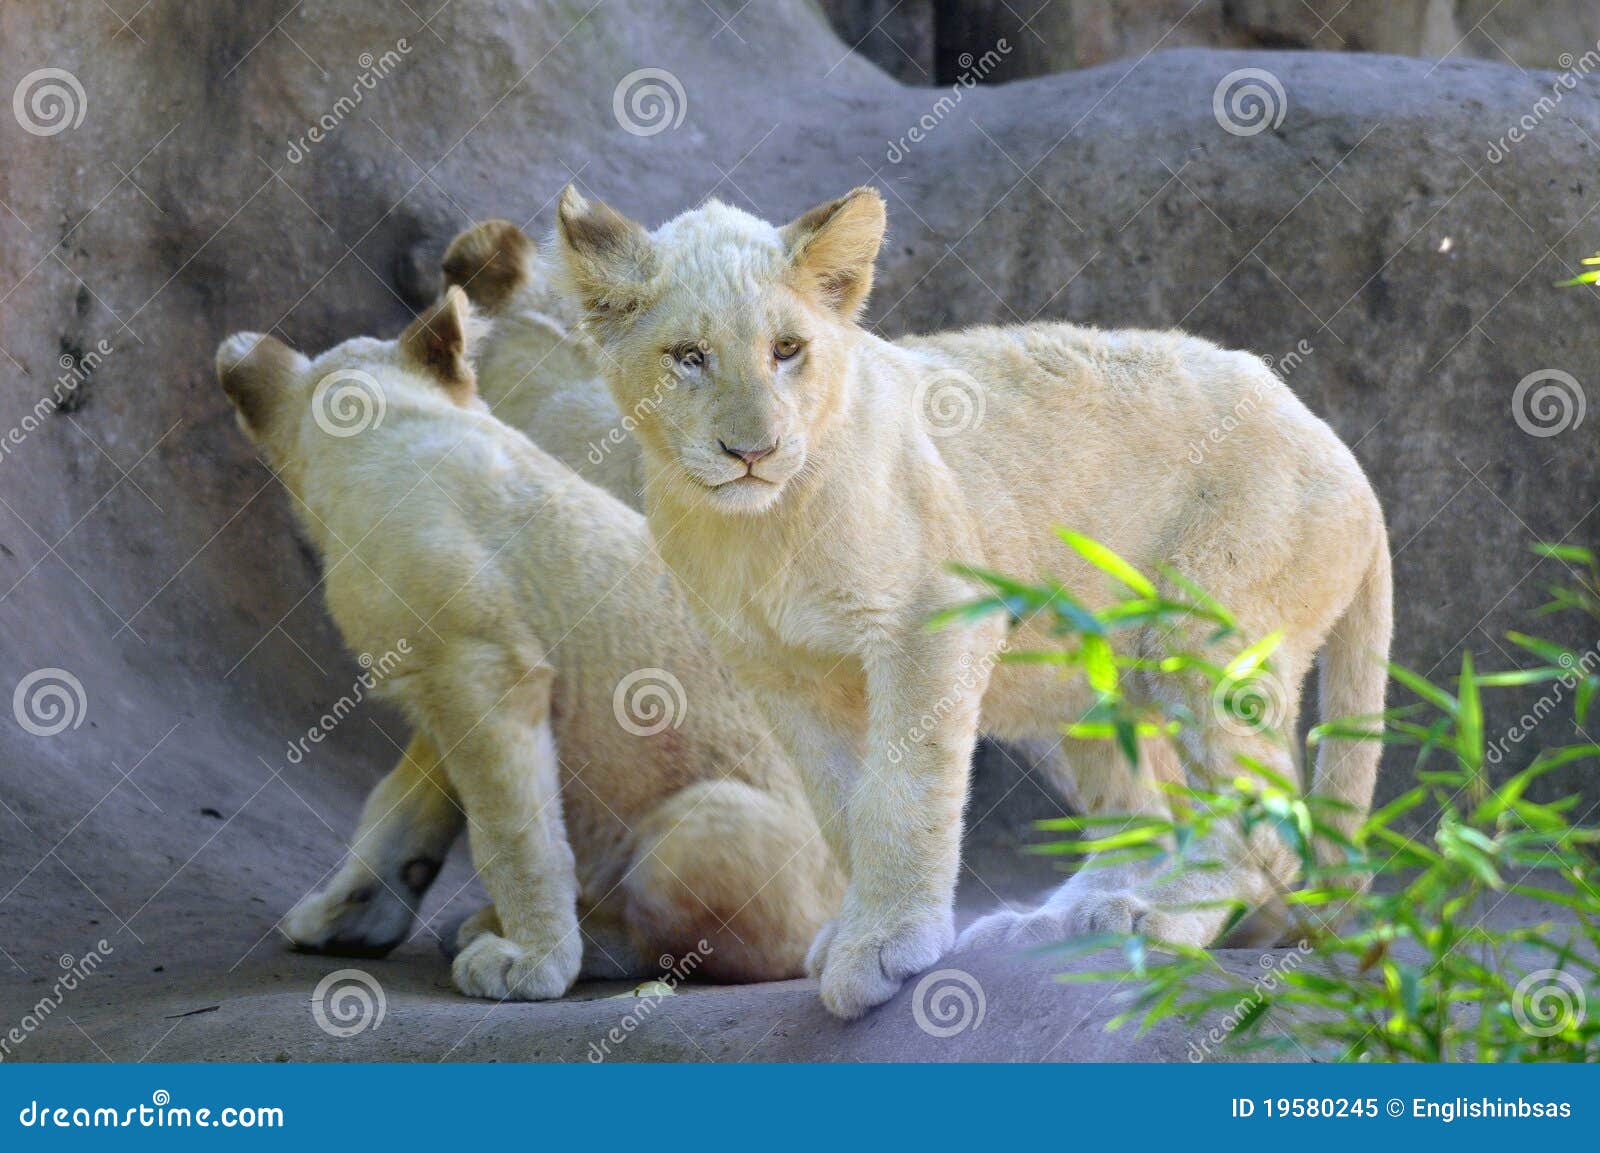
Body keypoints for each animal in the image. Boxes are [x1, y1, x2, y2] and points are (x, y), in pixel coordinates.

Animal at [215, 278, 842, 1000]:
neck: (395, 428)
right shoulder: (435, 684)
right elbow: (398, 808)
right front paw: (345, 917)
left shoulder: (484, 668)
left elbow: (513, 831)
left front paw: (531, 963)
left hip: (695, 826)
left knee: (730, 946)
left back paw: (548, 935)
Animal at [550, 185, 1393, 1019]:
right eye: (689, 357)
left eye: (787, 349)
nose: (752, 451)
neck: (758, 528)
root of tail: (1342, 453)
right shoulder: (780, 676)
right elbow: (841, 804)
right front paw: (853, 928)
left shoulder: (930, 624)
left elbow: (903, 791)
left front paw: (885, 943)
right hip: (1089, 677)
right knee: (1155, 817)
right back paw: (1055, 921)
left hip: (1199, 631)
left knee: (1267, 819)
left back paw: (1153, 916)